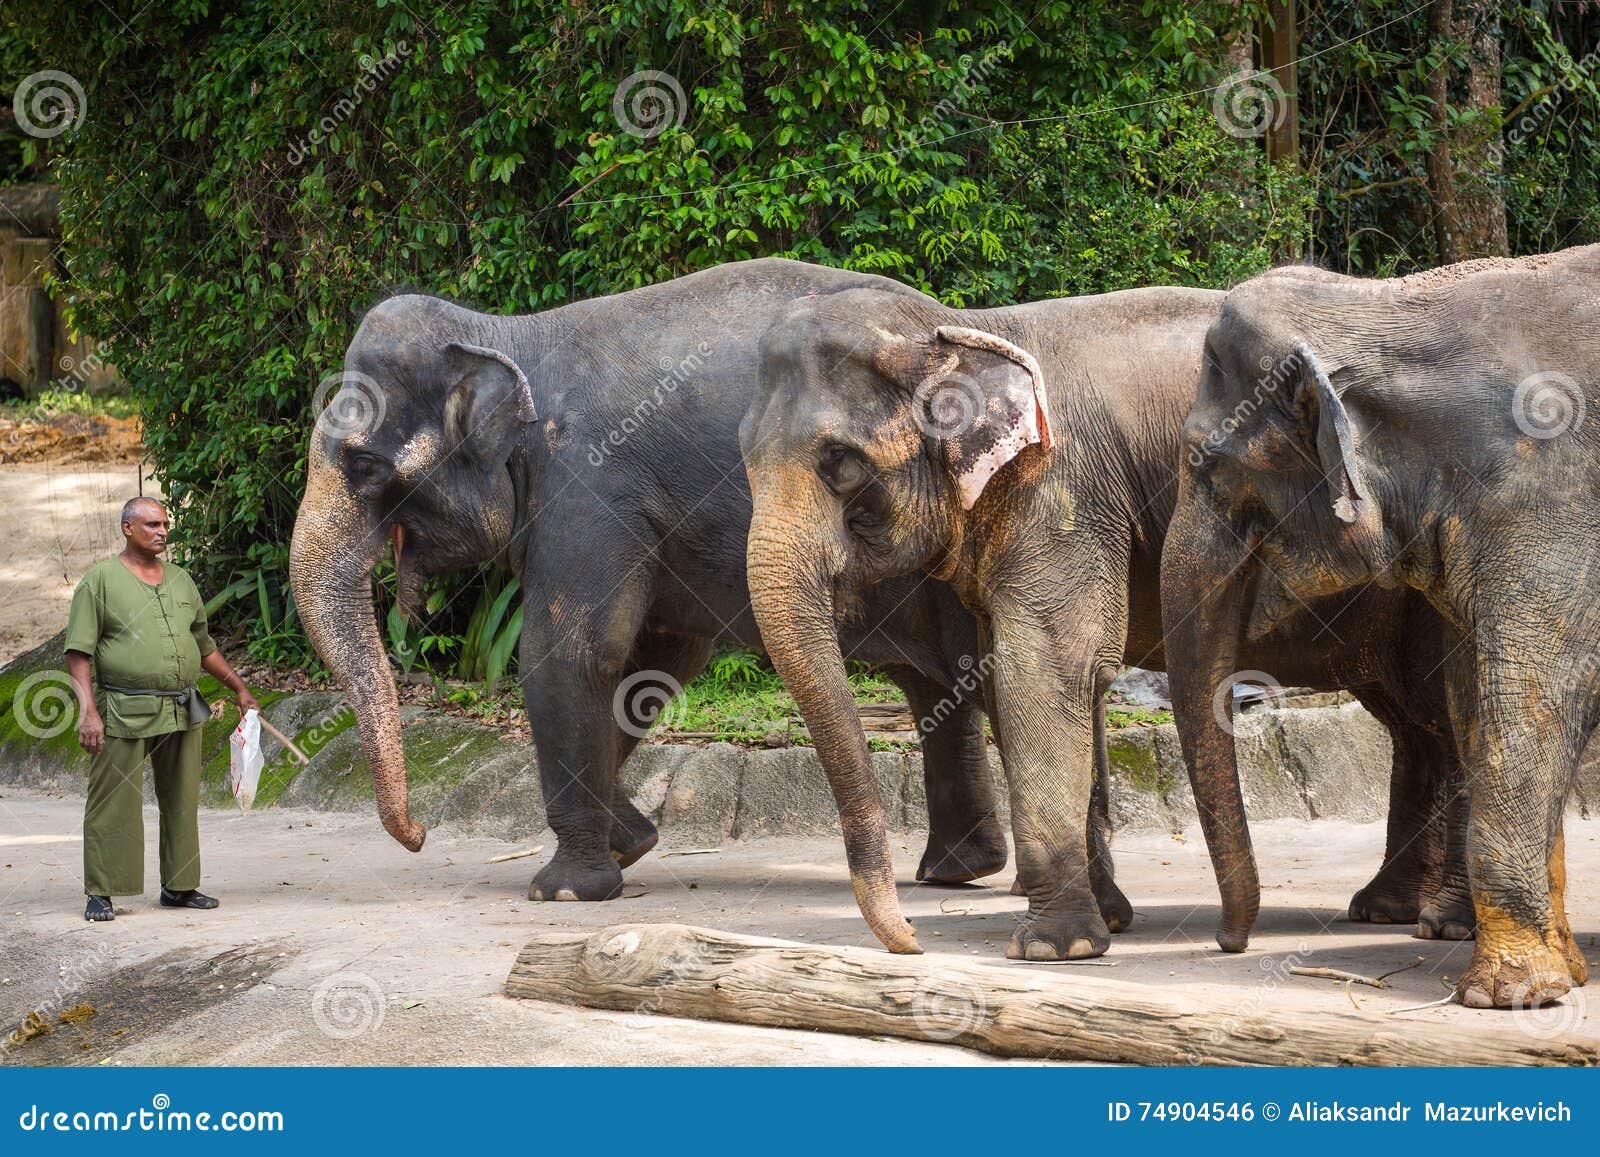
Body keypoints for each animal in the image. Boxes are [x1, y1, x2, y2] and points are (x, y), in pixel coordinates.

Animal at [289, 257, 1130, 920]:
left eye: (361, 465)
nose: (417, 834)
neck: (510, 334)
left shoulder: (590, 492)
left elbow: (575, 652)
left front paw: (566, 889)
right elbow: (654, 664)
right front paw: (631, 842)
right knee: (934, 685)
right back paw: (959, 872)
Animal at [1164, 245, 1600, 1008]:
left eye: (1204, 464)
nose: (1226, 941)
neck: (1387, 301)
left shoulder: (1548, 494)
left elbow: (1533, 693)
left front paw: (1507, 994)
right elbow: (1482, 698)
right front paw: (1563, 974)